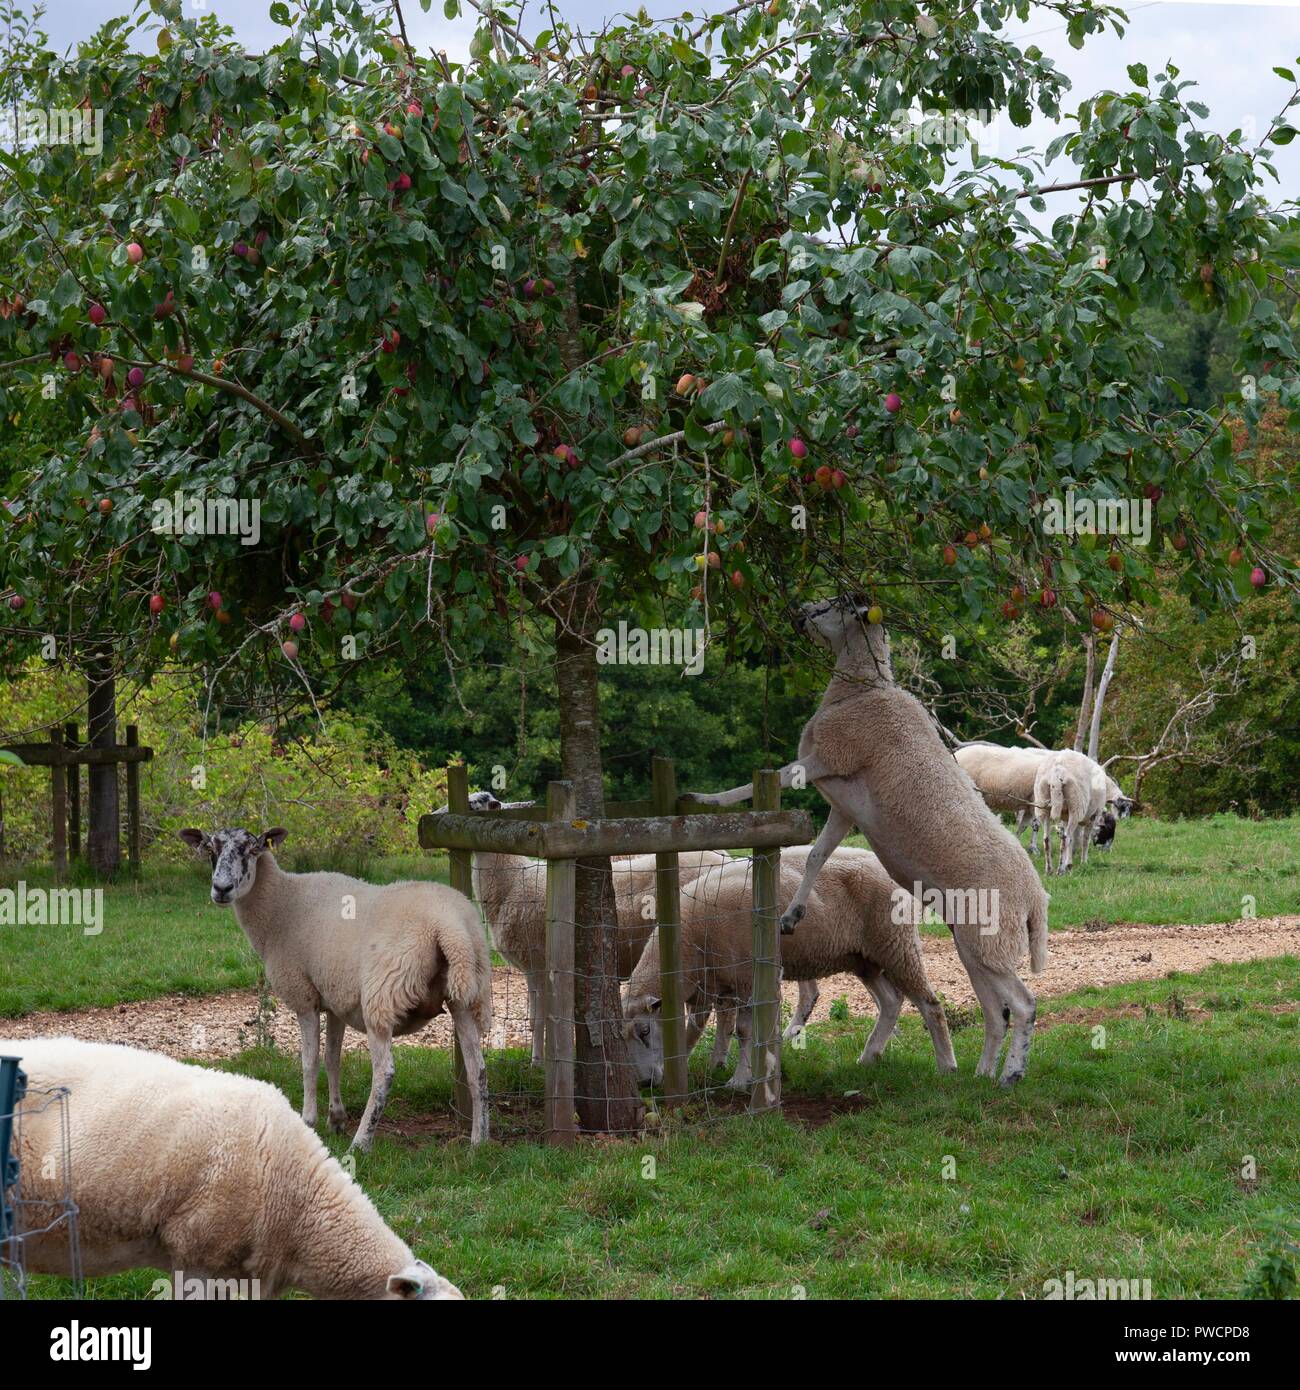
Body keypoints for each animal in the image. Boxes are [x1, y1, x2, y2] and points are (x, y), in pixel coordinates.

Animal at [178, 827, 491, 1151]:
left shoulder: (303, 996)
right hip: (467, 993)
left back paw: (361, 1143)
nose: (221, 889)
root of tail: (449, 927)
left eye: (251, 851)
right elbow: (332, 1059)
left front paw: (309, 1119)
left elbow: (310, 1062)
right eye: (210, 850)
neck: (281, 904)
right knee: (477, 1069)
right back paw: (479, 1142)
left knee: (384, 1073)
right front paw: (336, 1119)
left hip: (382, 995)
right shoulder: (335, 999)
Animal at [624, 845, 956, 1088]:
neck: (691, 942)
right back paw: (868, 1056)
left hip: (895, 942)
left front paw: (741, 1080)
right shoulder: (722, 983)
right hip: (863, 958)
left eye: (644, 1031)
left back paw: (946, 1066)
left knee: (930, 1004)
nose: (644, 1085)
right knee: (890, 1001)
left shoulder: (746, 977)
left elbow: (743, 1031)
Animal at [684, 595, 1049, 1087]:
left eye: (832, 605)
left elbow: (752, 784)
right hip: (975, 942)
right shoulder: (844, 807)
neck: (862, 689)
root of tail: (1036, 897)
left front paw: (702, 799)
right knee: (996, 1011)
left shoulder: (826, 757)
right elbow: (817, 856)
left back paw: (1010, 1074)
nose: (798, 612)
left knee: (1024, 1005)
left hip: (987, 939)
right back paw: (979, 1075)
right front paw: (791, 915)